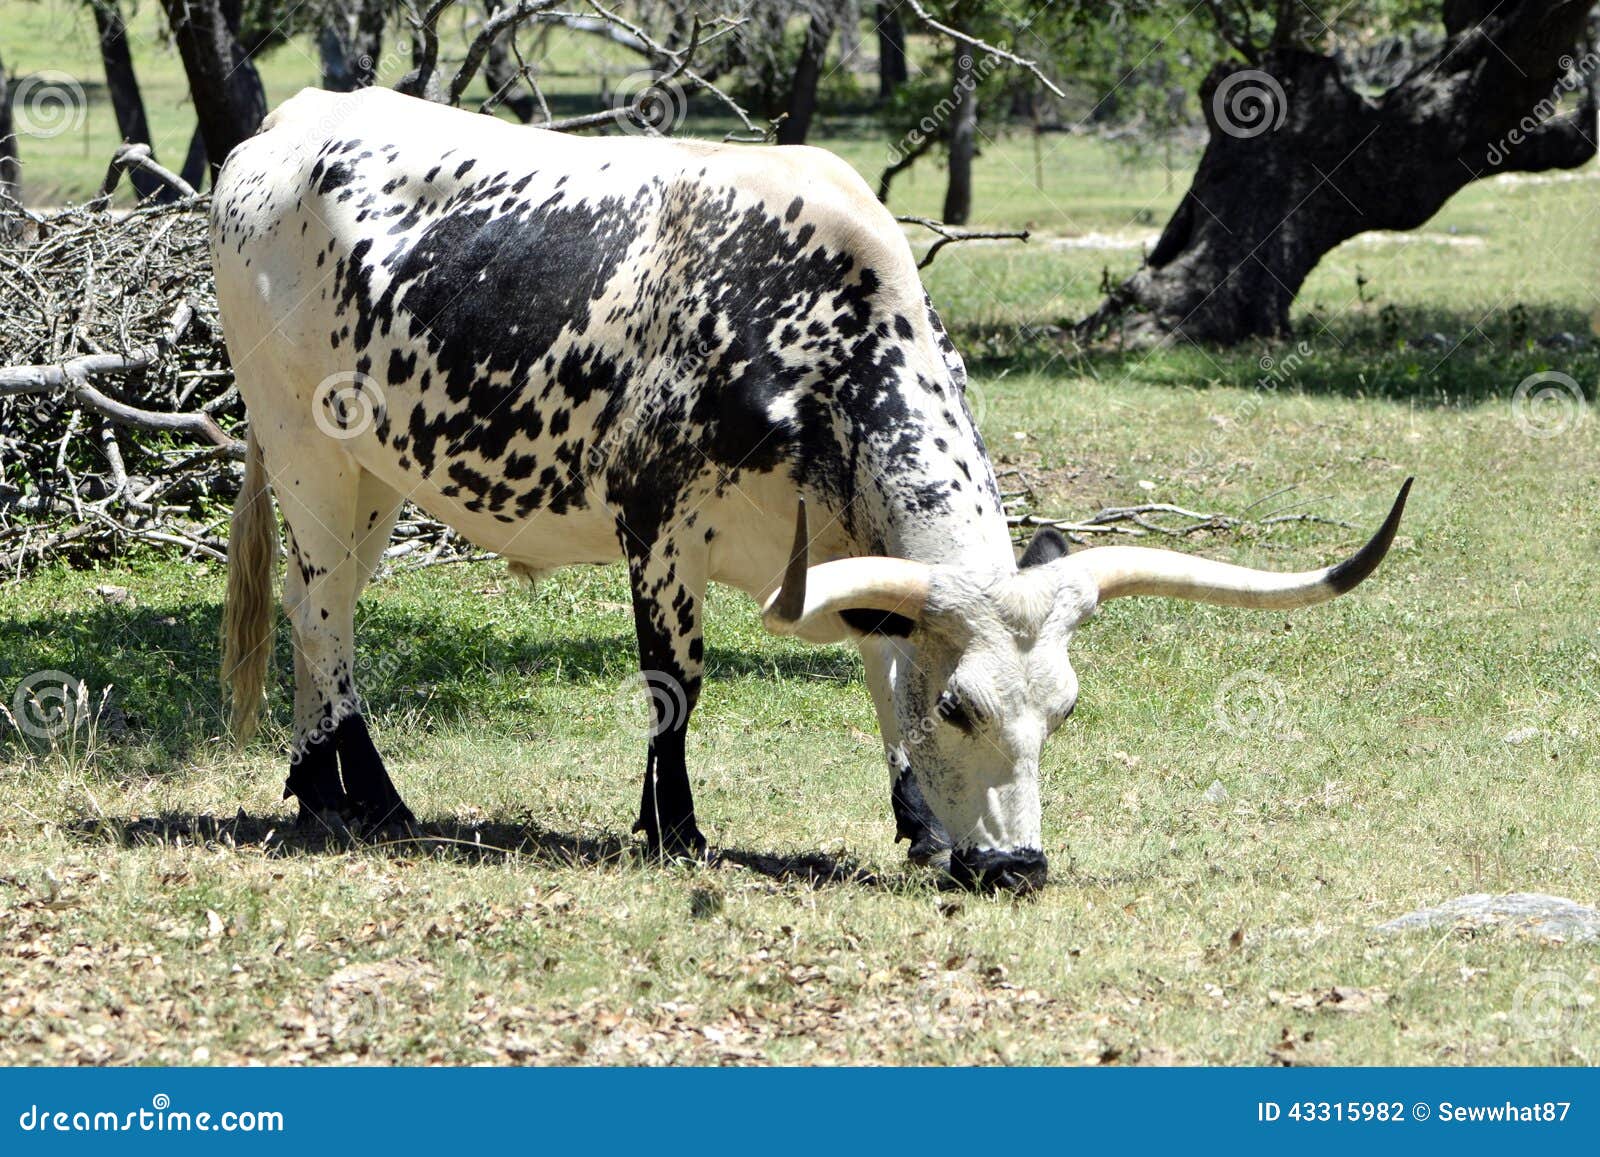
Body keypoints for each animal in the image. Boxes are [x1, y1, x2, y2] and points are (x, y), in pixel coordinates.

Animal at [212, 87, 1410, 892]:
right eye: (962, 706)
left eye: (1062, 710)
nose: (1018, 865)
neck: (818, 329)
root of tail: (288, 123)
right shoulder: (657, 524)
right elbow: (678, 683)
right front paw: (675, 831)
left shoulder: (851, 543)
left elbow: (880, 669)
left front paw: (920, 823)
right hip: (306, 447)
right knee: (324, 616)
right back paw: (363, 796)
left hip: (373, 470)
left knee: (331, 608)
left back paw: (323, 785)